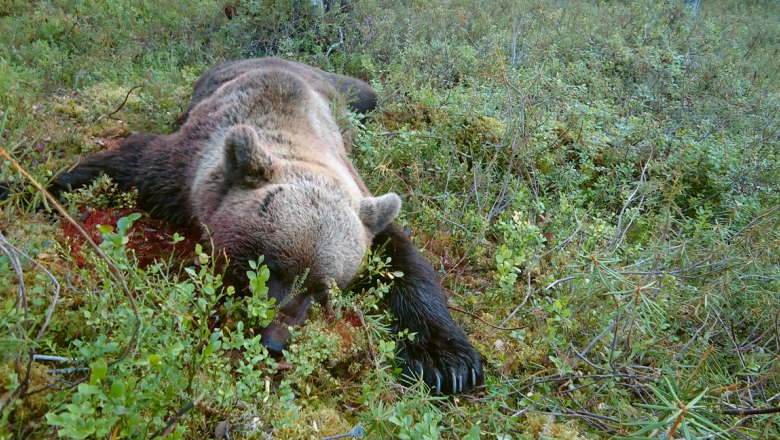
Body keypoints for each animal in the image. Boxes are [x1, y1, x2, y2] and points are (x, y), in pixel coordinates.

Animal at [50, 58, 484, 394]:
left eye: (324, 291)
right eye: (264, 268)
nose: (275, 343)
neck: (292, 134)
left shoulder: (360, 203)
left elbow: (402, 260)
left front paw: (447, 360)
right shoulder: (182, 169)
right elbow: (126, 161)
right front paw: (43, 186)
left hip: (348, 92)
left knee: (368, 93)